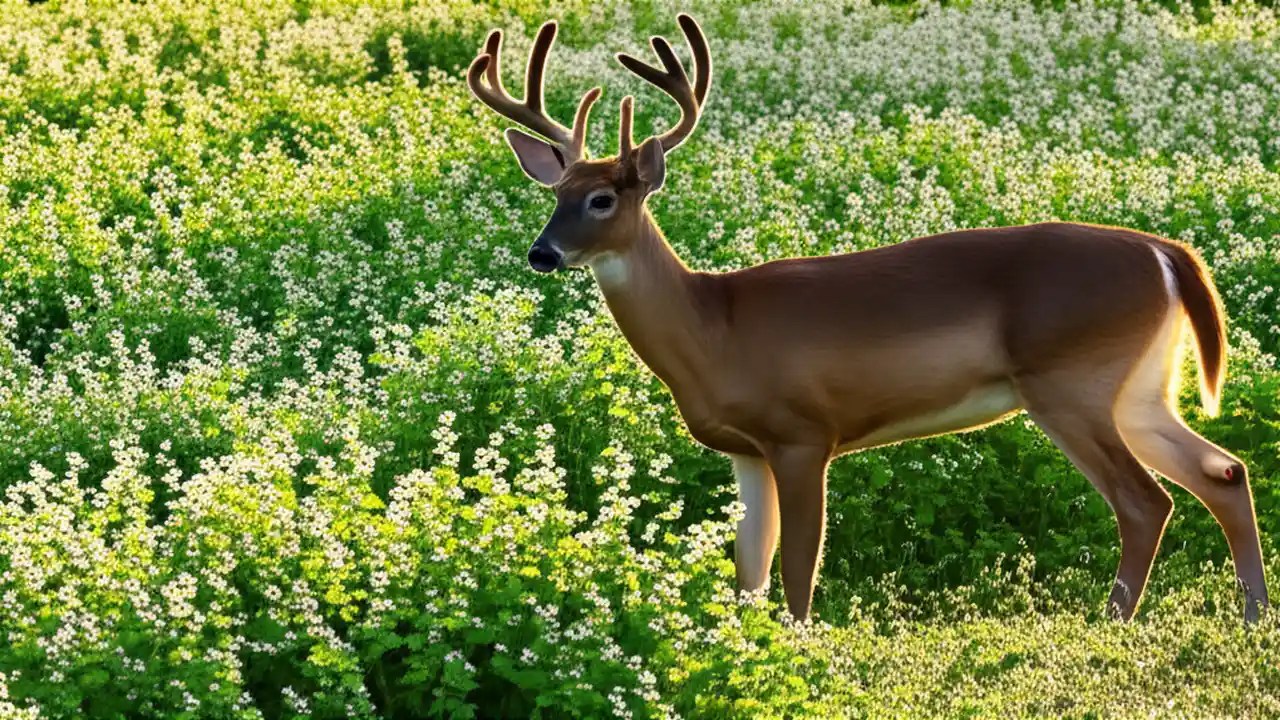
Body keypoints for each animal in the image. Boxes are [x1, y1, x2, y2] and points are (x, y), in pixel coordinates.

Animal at [466, 14, 1269, 623]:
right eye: (556, 193)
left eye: (602, 199)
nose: (541, 253)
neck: (713, 329)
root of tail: (1167, 253)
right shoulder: (742, 450)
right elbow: (749, 568)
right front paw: (746, 648)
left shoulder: (803, 433)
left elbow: (797, 565)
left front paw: (797, 648)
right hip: (1140, 387)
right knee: (1223, 471)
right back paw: (1253, 616)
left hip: (1070, 380)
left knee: (1146, 501)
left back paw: (1115, 623)